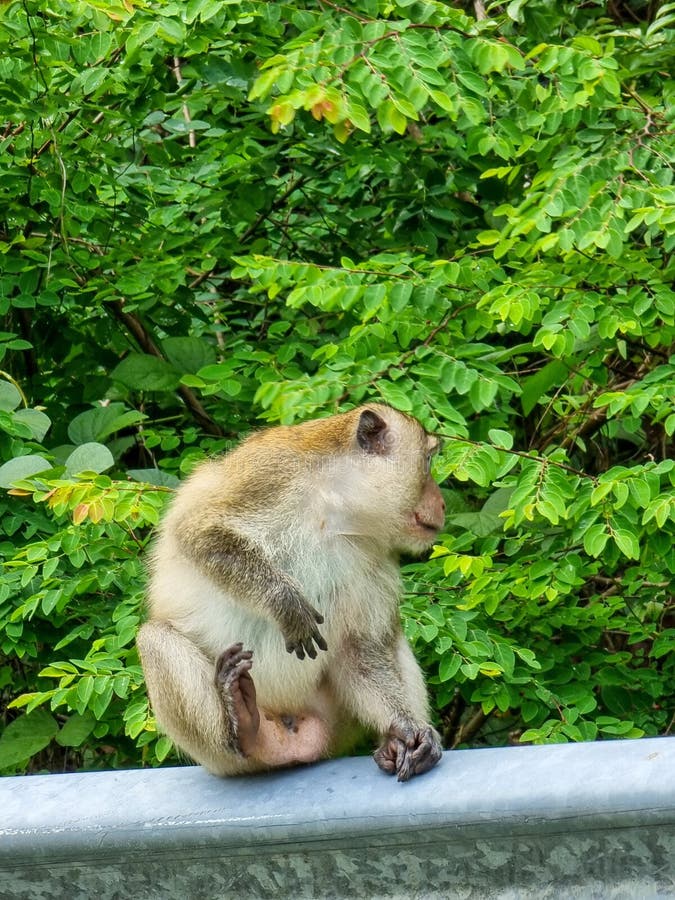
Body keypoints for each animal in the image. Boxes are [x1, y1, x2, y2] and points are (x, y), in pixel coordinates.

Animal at [137, 403, 446, 782]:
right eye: (428, 461)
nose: (442, 503)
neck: (335, 507)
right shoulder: (271, 470)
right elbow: (198, 529)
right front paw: (284, 603)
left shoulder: (379, 558)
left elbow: (360, 651)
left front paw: (405, 729)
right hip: (221, 757)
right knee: (154, 639)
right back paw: (246, 727)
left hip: (334, 717)